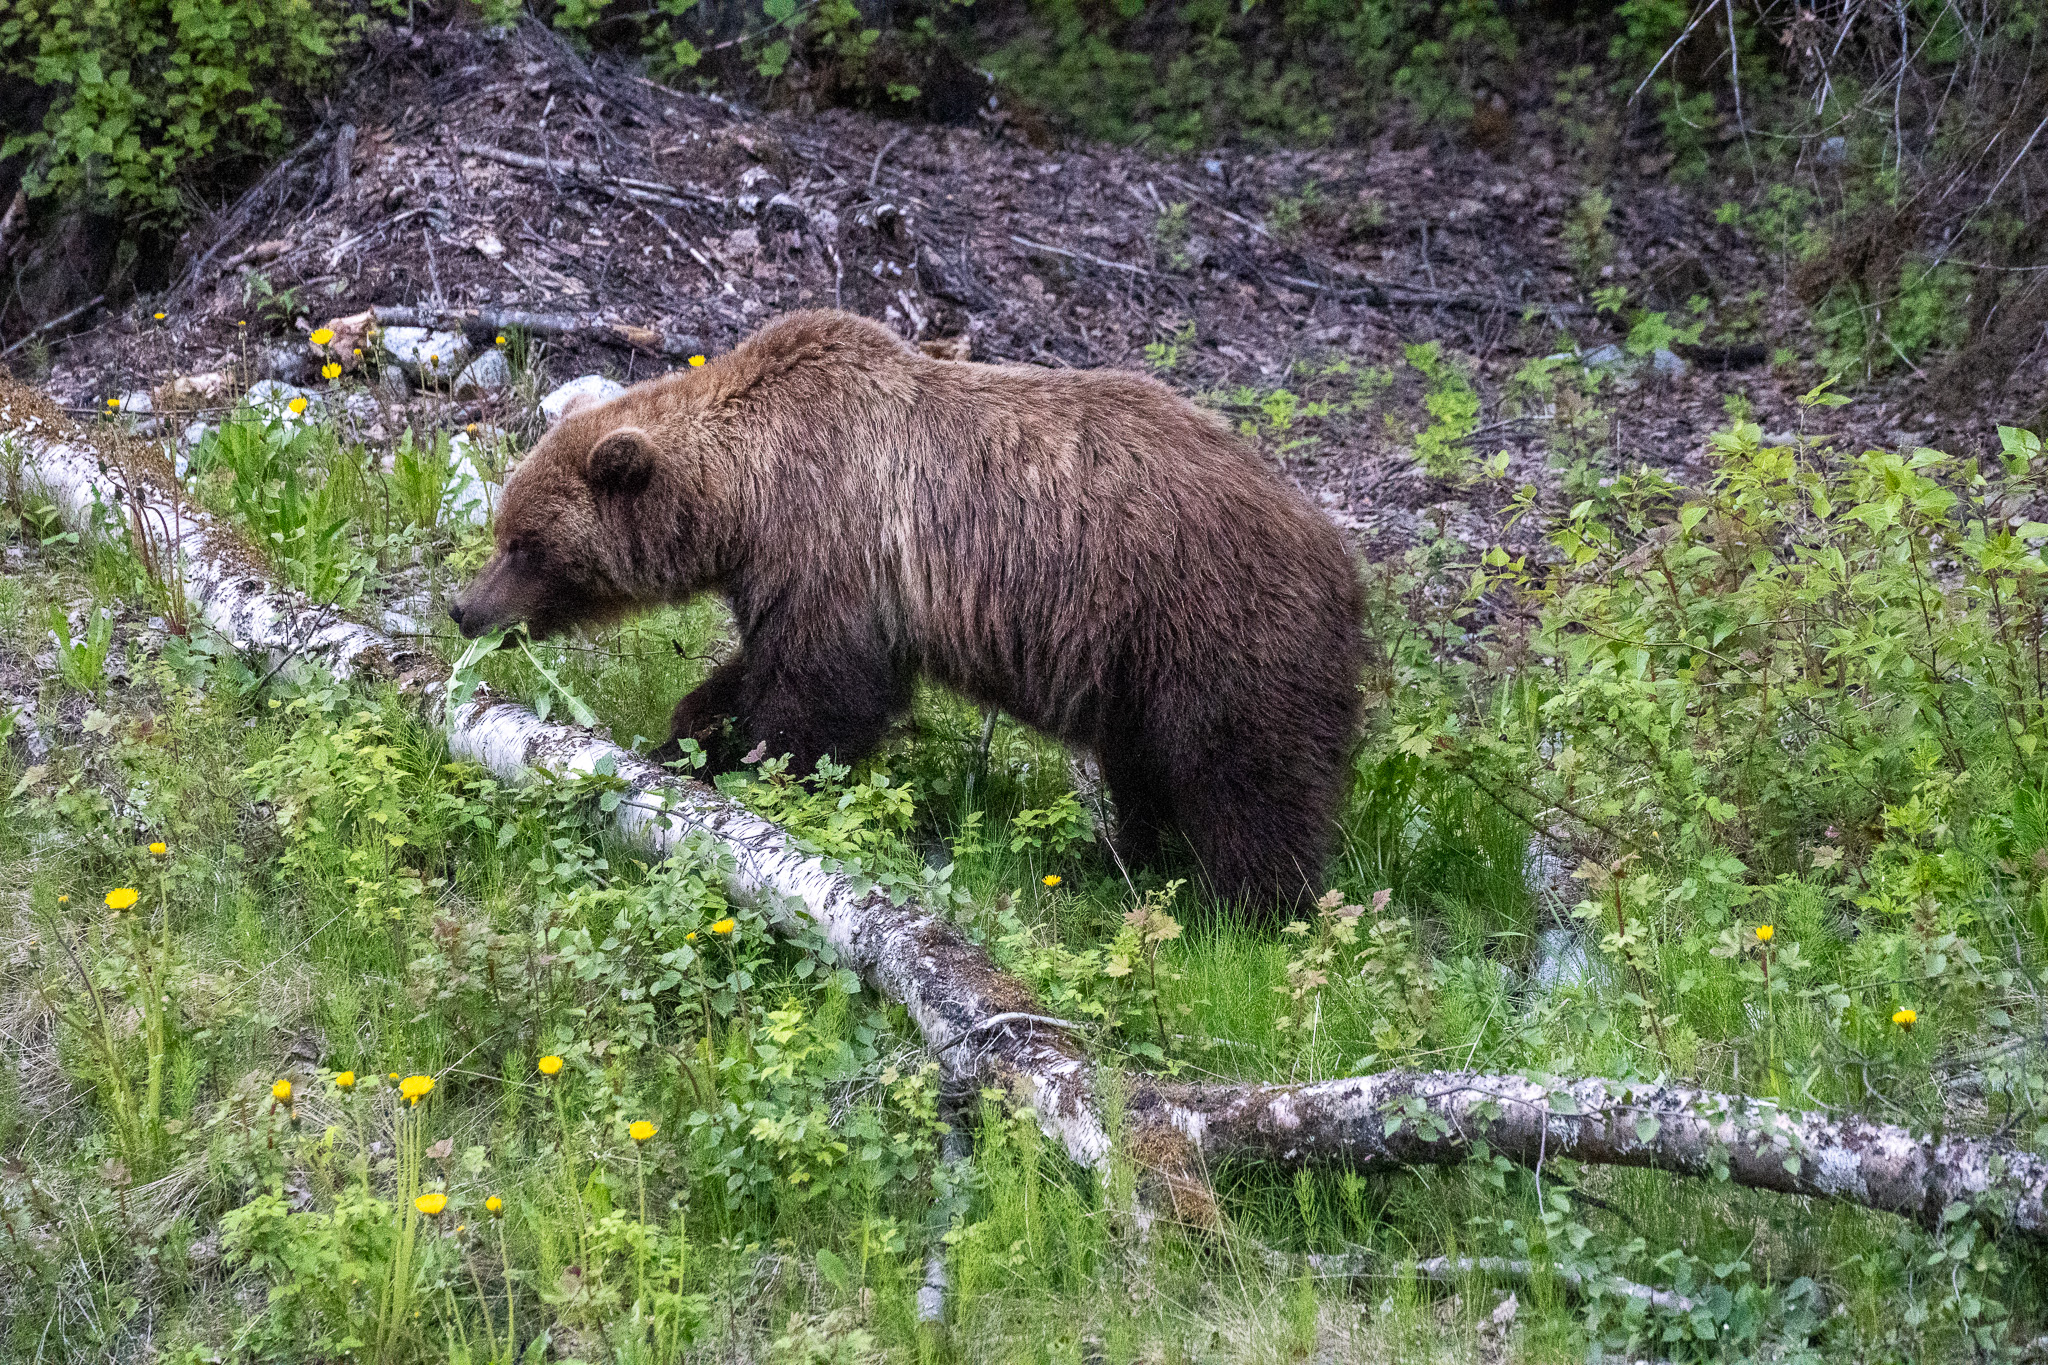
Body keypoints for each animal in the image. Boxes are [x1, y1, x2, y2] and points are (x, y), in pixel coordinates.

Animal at [450, 310, 1364, 910]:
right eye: (504, 530)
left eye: (525, 543)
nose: (466, 610)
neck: (745, 493)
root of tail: (1340, 558)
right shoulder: (798, 572)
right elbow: (763, 667)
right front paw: (688, 736)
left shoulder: (835, 538)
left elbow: (822, 692)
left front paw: (757, 771)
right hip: (1141, 667)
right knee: (1143, 766)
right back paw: (1122, 857)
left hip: (1212, 627)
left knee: (1246, 780)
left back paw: (1244, 906)